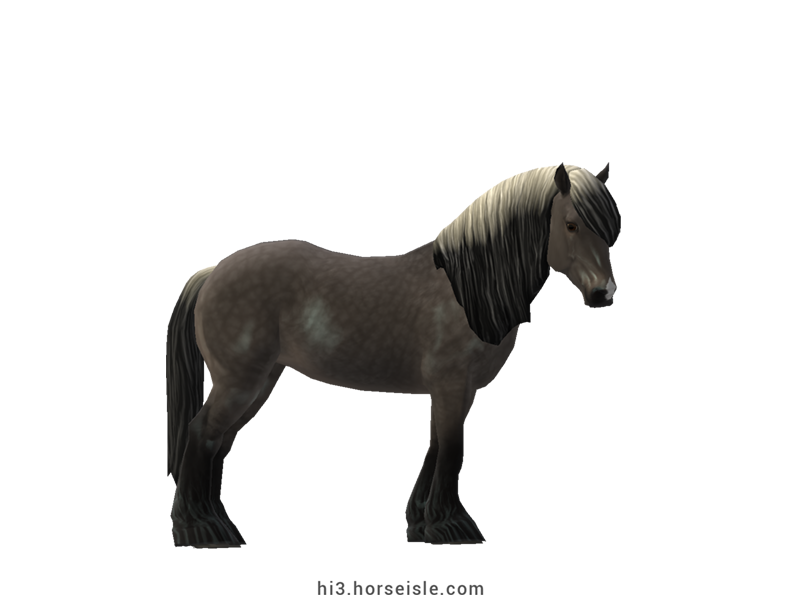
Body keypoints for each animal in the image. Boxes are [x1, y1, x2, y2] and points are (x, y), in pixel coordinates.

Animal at [167, 163, 620, 545]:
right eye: (572, 224)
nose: (603, 292)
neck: (466, 290)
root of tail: (212, 273)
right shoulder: (451, 383)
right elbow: (453, 447)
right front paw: (451, 523)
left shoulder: (453, 388)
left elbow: (437, 444)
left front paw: (423, 519)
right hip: (237, 383)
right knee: (201, 433)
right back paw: (202, 527)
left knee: (217, 442)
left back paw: (215, 520)